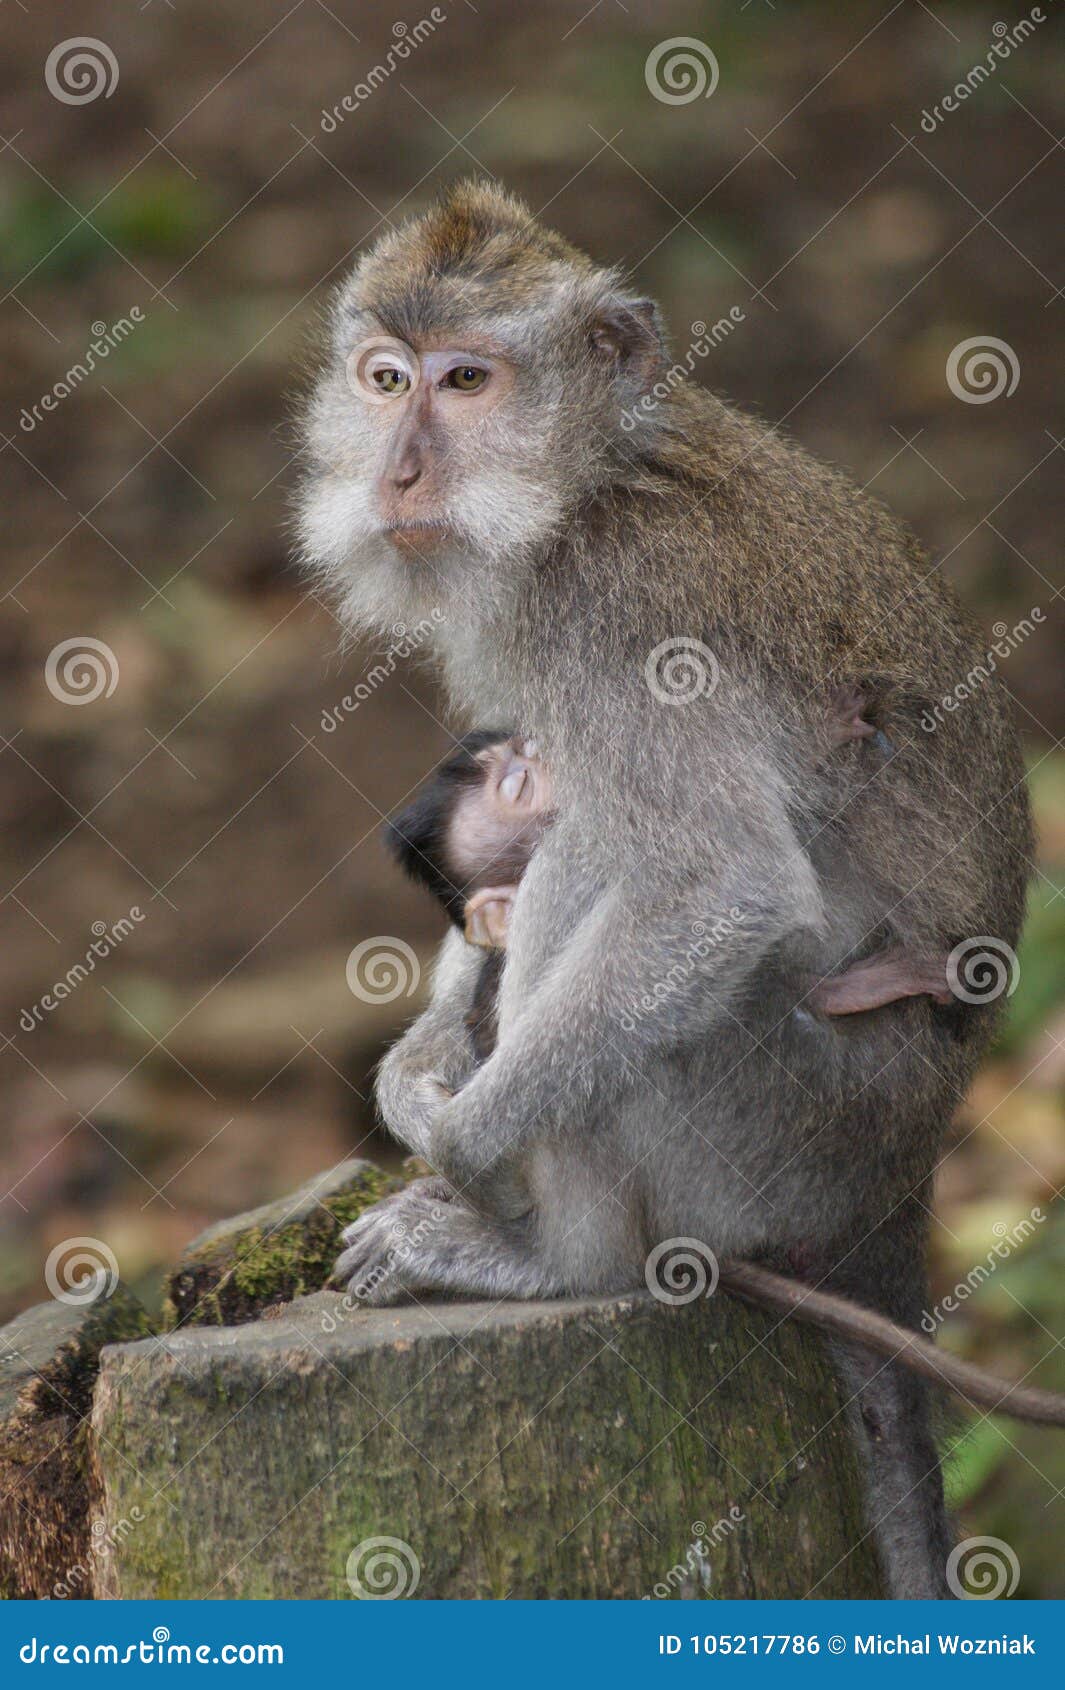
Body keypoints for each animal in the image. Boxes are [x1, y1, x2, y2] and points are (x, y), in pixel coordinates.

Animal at [298, 181, 1043, 1599]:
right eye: (385, 378)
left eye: (468, 380)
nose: (399, 470)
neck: (587, 488)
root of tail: (901, 1183)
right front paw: (418, 1073)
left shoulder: (625, 617)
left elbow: (717, 884)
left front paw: (466, 1145)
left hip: (780, 1122)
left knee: (614, 856)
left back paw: (550, 1257)